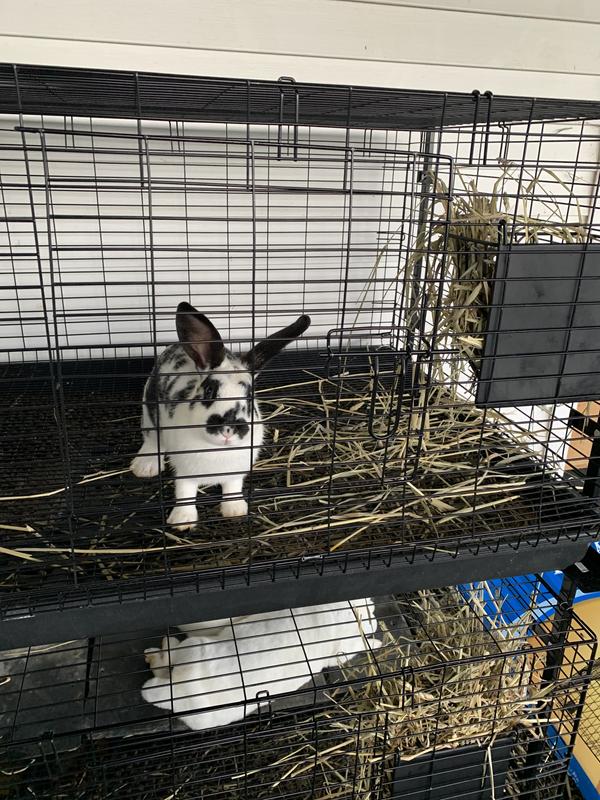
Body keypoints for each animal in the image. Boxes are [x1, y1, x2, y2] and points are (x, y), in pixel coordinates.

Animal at [131, 302, 310, 528]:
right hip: (149, 409)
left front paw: (234, 510)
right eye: (209, 391)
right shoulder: (185, 471)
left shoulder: (236, 472)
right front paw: (182, 520)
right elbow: (185, 492)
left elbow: (233, 488)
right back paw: (145, 467)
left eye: (250, 396)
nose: (228, 429)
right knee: (152, 439)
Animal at [141, 598, 381, 731]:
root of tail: (182, 690)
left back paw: (156, 653)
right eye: (370, 613)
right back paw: (159, 649)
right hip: (193, 649)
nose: (375, 617)